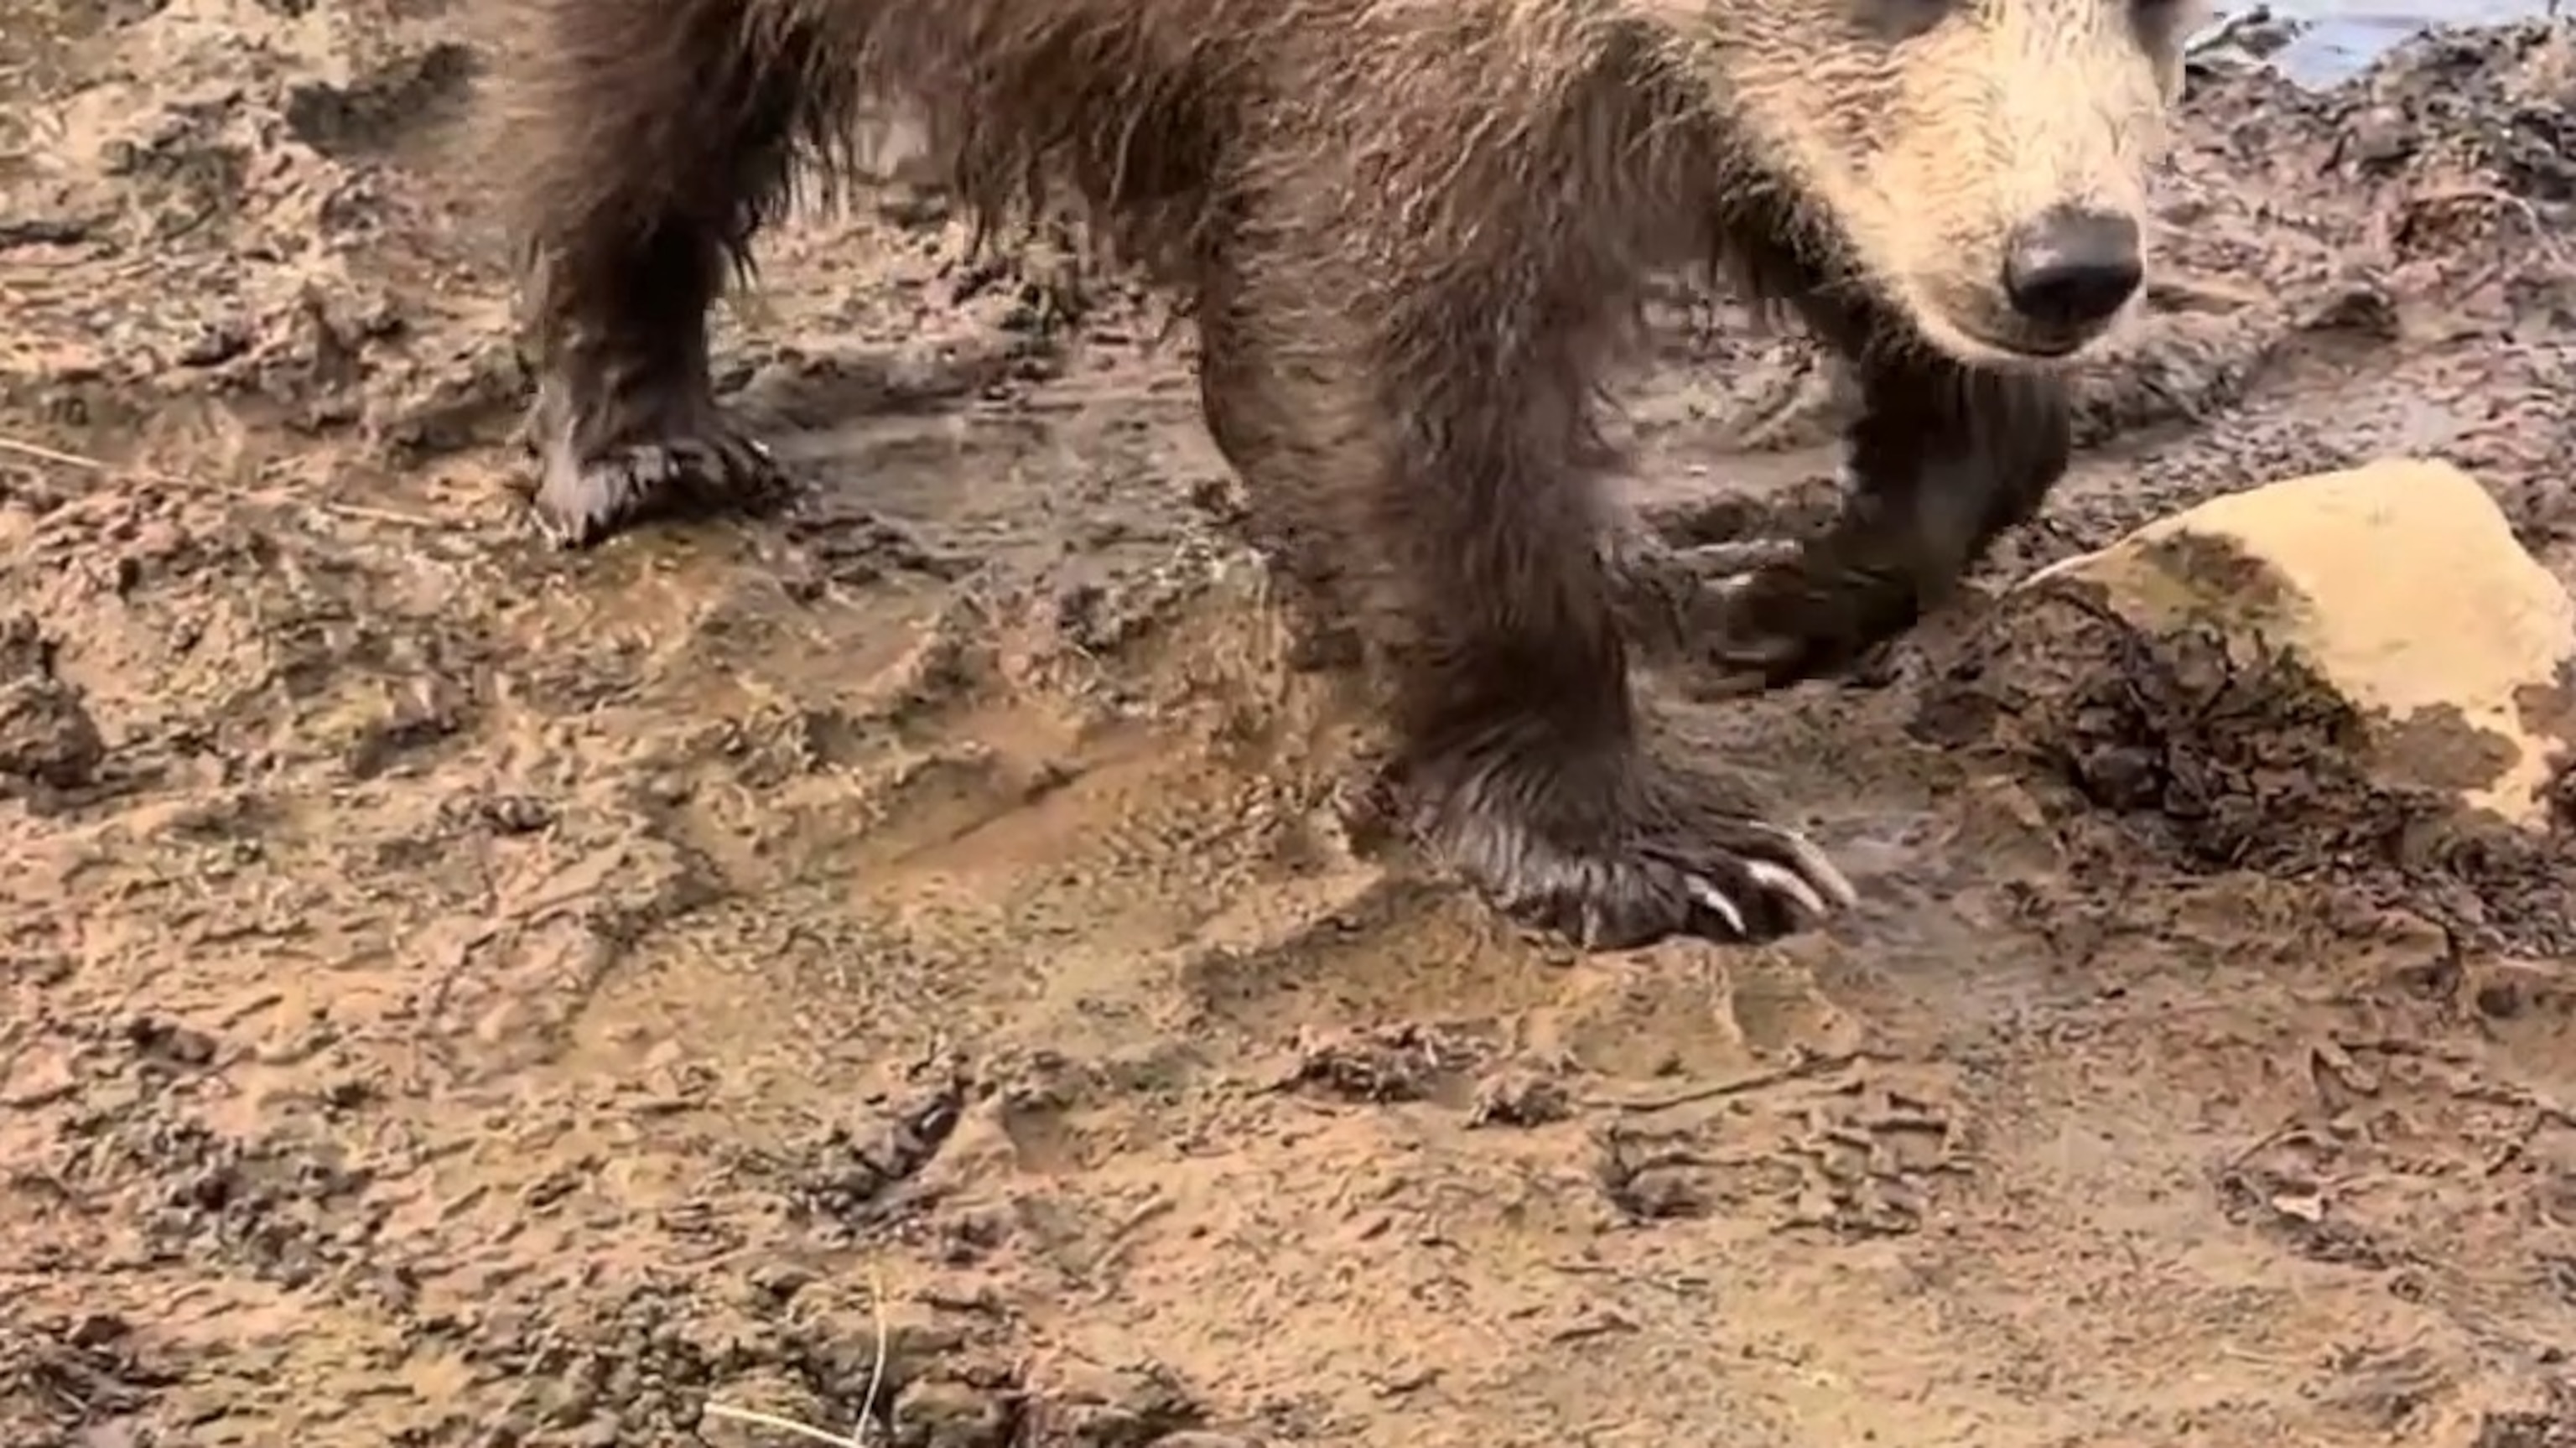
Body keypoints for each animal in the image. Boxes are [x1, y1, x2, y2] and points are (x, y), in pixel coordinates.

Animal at [489, 0, 2204, 951]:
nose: (2068, 264)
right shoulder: (1422, 90)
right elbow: (1400, 368)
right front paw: (1672, 851)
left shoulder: (1748, 118)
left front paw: (1789, 598)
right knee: (646, 105)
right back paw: (639, 435)